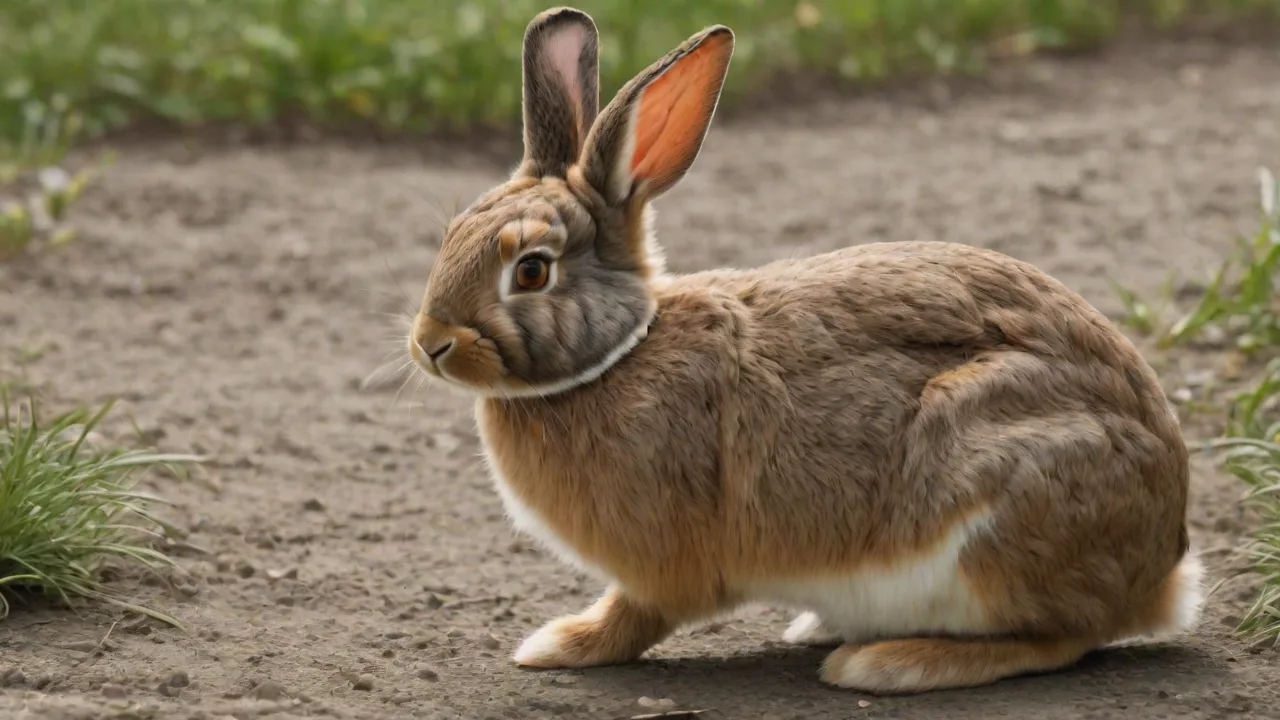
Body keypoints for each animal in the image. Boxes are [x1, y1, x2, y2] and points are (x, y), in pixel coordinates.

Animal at [405, 6, 1203, 695]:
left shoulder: (662, 569)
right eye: (452, 237)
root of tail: (1161, 571)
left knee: (1060, 637)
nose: (429, 345)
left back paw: (888, 663)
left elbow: (633, 616)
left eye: (530, 271)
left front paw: (557, 644)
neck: (621, 352)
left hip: (995, 499)